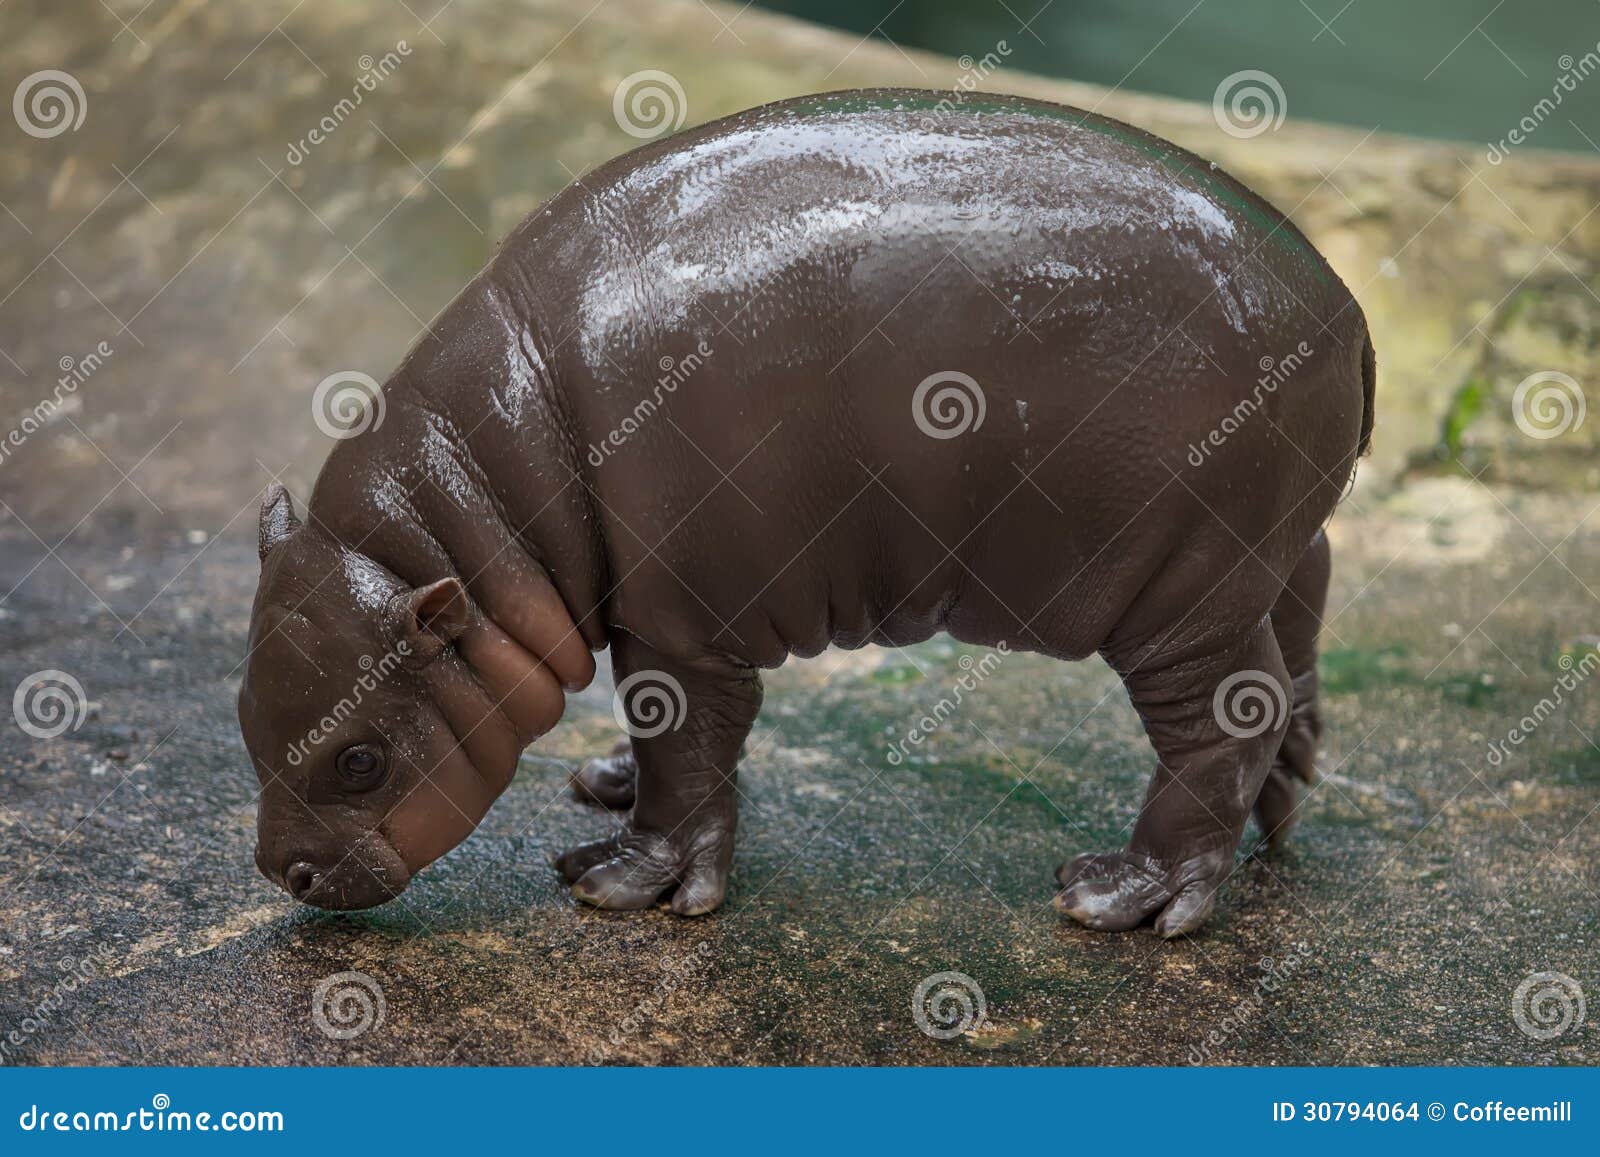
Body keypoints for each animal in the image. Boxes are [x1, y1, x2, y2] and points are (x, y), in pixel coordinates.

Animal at [239, 89, 1372, 936]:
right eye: (244, 709)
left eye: (360, 758)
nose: (286, 871)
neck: (472, 517)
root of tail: (1347, 312)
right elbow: (674, 745)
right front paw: (607, 780)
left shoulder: (679, 621)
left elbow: (688, 741)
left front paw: (621, 879)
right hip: (1261, 554)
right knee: (1303, 620)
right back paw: (1282, 808)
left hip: (1184, 591)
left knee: (1231, 713)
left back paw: (1119, 896)